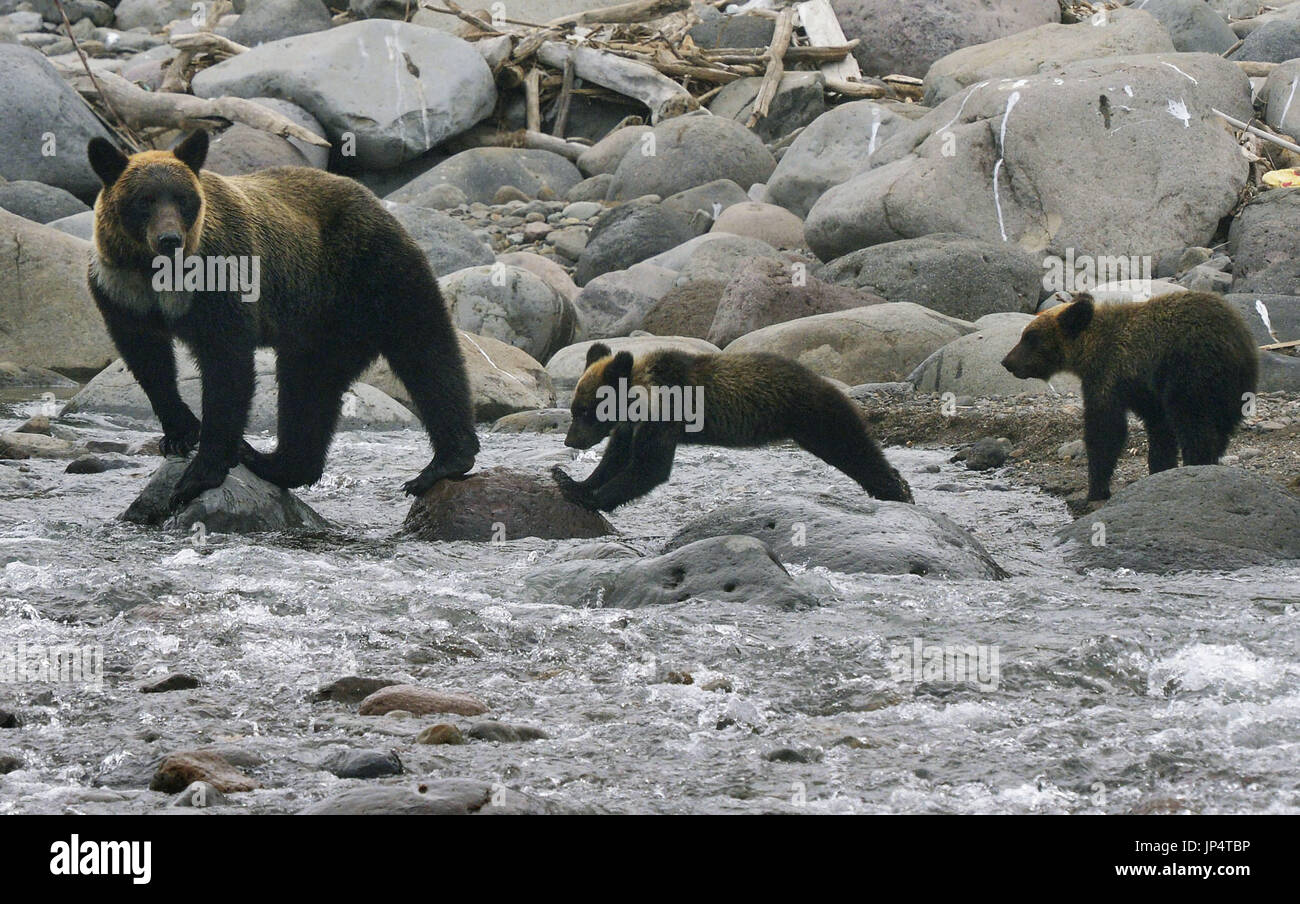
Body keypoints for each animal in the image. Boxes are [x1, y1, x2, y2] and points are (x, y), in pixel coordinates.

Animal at [86, 130, 478, 511]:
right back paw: (274, 461)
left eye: (182, 199)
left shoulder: (220, 286)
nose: (170, 239)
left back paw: (443, 463)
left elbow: (226, 369)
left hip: (372, 274)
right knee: (309, 389)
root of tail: (369, 196)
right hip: (320, 326)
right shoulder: (120, 294)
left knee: (427, 355)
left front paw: (198, 474)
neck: (157, 279)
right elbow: (148, 363)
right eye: (145, 200)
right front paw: (181, 432)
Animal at [550, 344, 913, 511]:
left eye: (584, 410)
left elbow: (648, 468)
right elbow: (615, 459)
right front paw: (571, 480)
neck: (643, 398)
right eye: (574, 409)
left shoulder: (667, 417)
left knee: (853, 447)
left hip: (814, 415)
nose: (570, 441)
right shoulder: (632, 427)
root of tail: (829, 383)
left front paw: (592, 498)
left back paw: (896, 489)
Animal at [1001, 291, 1258, 502]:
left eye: (1030, 336)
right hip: (1233, 389)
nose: (1007, 361)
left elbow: (1106, 430)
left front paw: (1095, 488)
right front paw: (1160, 468)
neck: (1088, 351)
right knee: (1220, 428)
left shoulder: (1108, 376)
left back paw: (1197, 461)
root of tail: (1235, 341)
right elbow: (1159, 429)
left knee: (1193, 423)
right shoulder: (1145, 391)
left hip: (1191, 371)